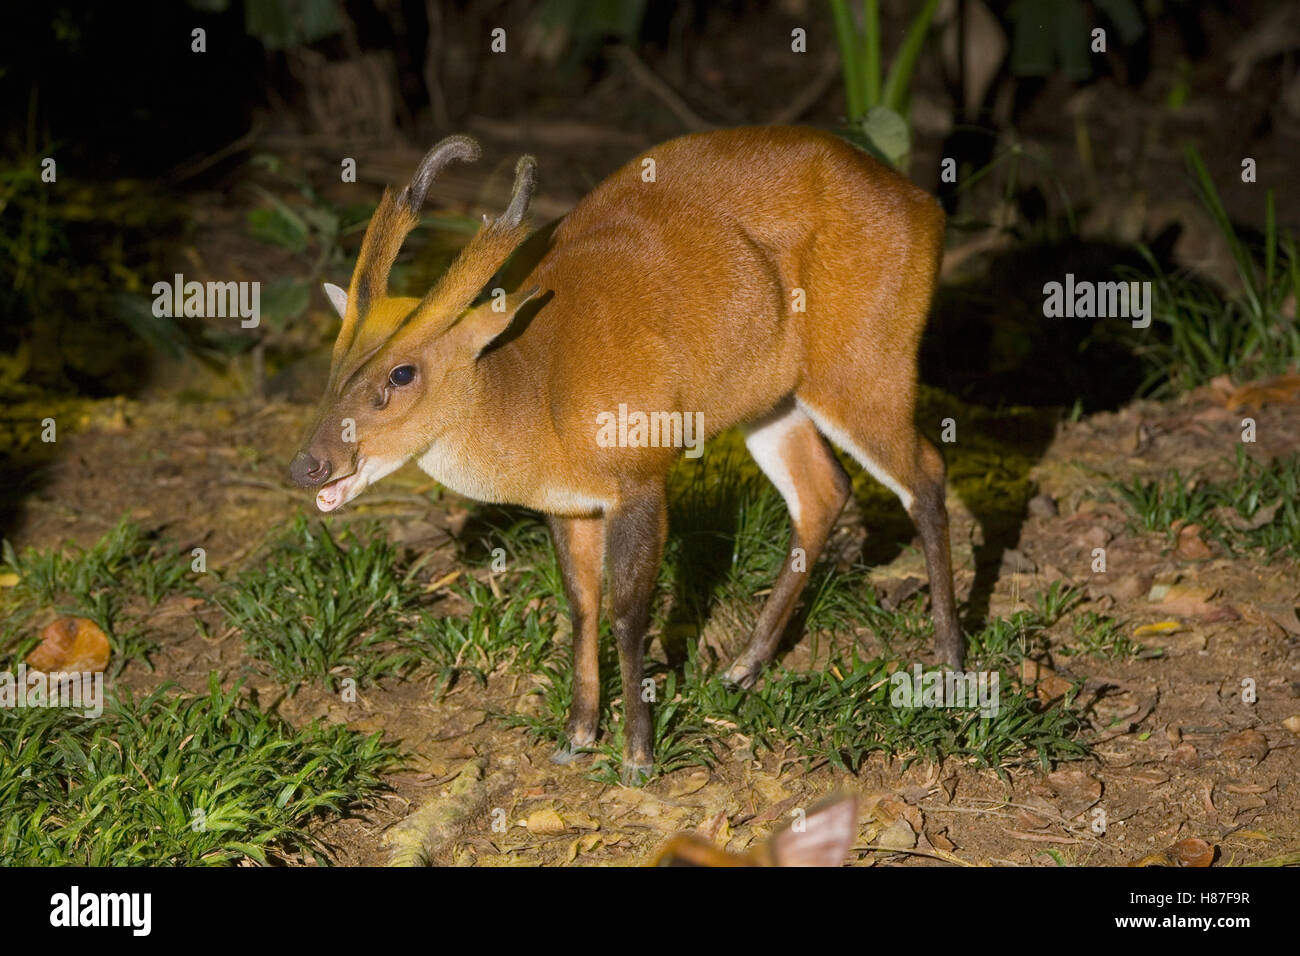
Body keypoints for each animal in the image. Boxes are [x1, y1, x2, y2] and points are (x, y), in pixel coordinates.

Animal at [289, 126, 962, 786]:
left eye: (401, 373)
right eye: (335, 364)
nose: (308, 466)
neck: (538, 392)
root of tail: (925, 207)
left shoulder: (640, 476)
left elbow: (627, 611)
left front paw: (639, 752)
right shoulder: (570, 505)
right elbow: (581, 607)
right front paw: (578, 735)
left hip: (864, 360)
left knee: (926, 473)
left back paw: (951, 659)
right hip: (770, 399)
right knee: (822, 491)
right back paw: (743, 667)